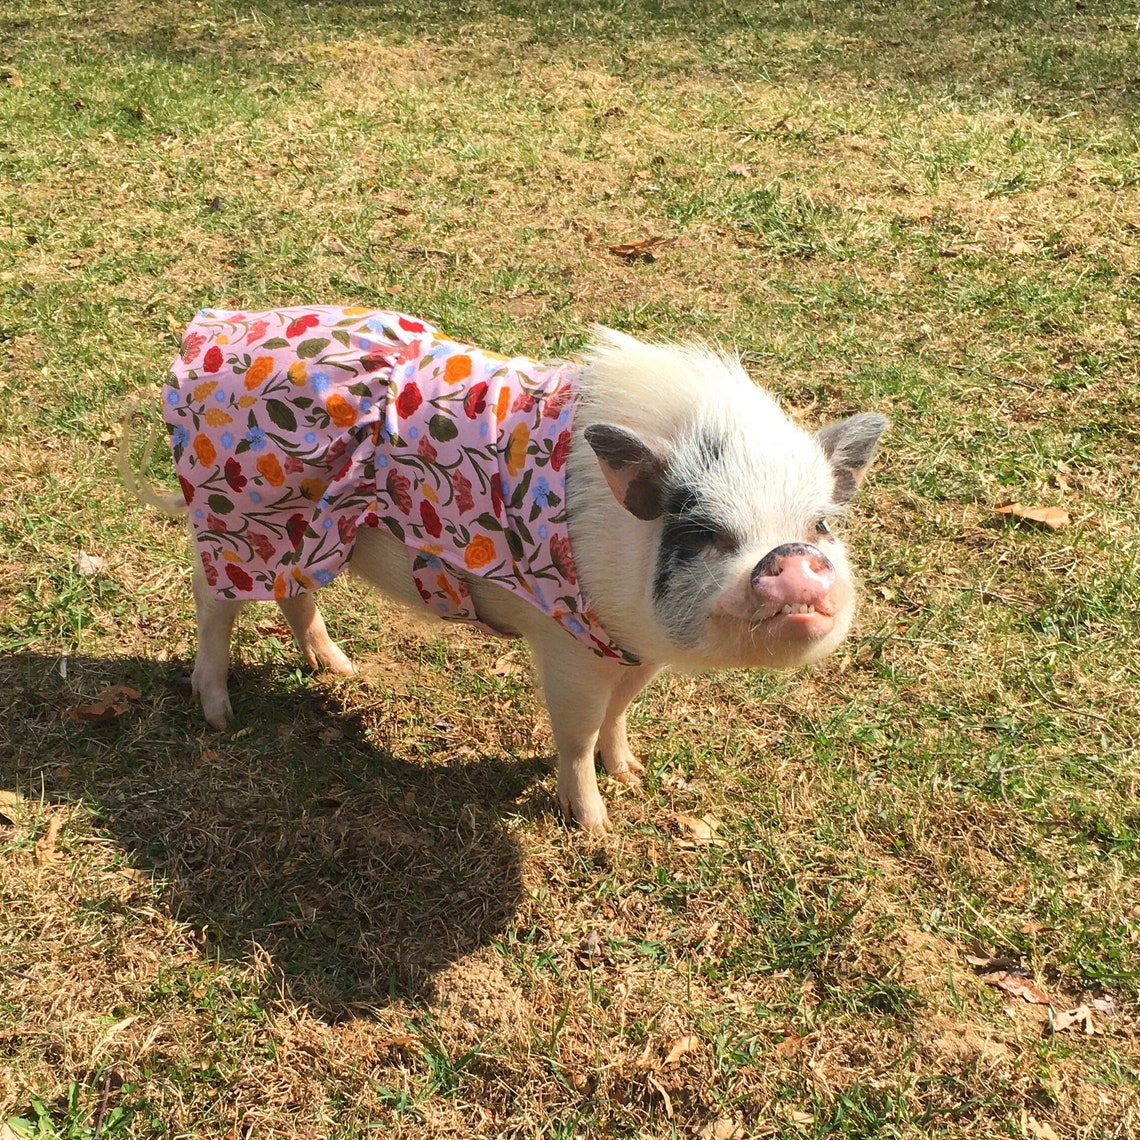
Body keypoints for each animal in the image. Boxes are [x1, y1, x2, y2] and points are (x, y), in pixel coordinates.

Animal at [123, 307, 886, 833]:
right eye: (703, 534)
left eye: (820, 526)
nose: (796, 563)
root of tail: (205, 335)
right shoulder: (567, 645)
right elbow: (576, 734)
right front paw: (595, 827)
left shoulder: (634, 651)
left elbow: (619, 715)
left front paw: (634, 776)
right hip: (234, 520)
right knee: (212, 601)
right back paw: (220, 716)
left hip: (311, 534)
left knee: (293, 594)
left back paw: (339, 671)